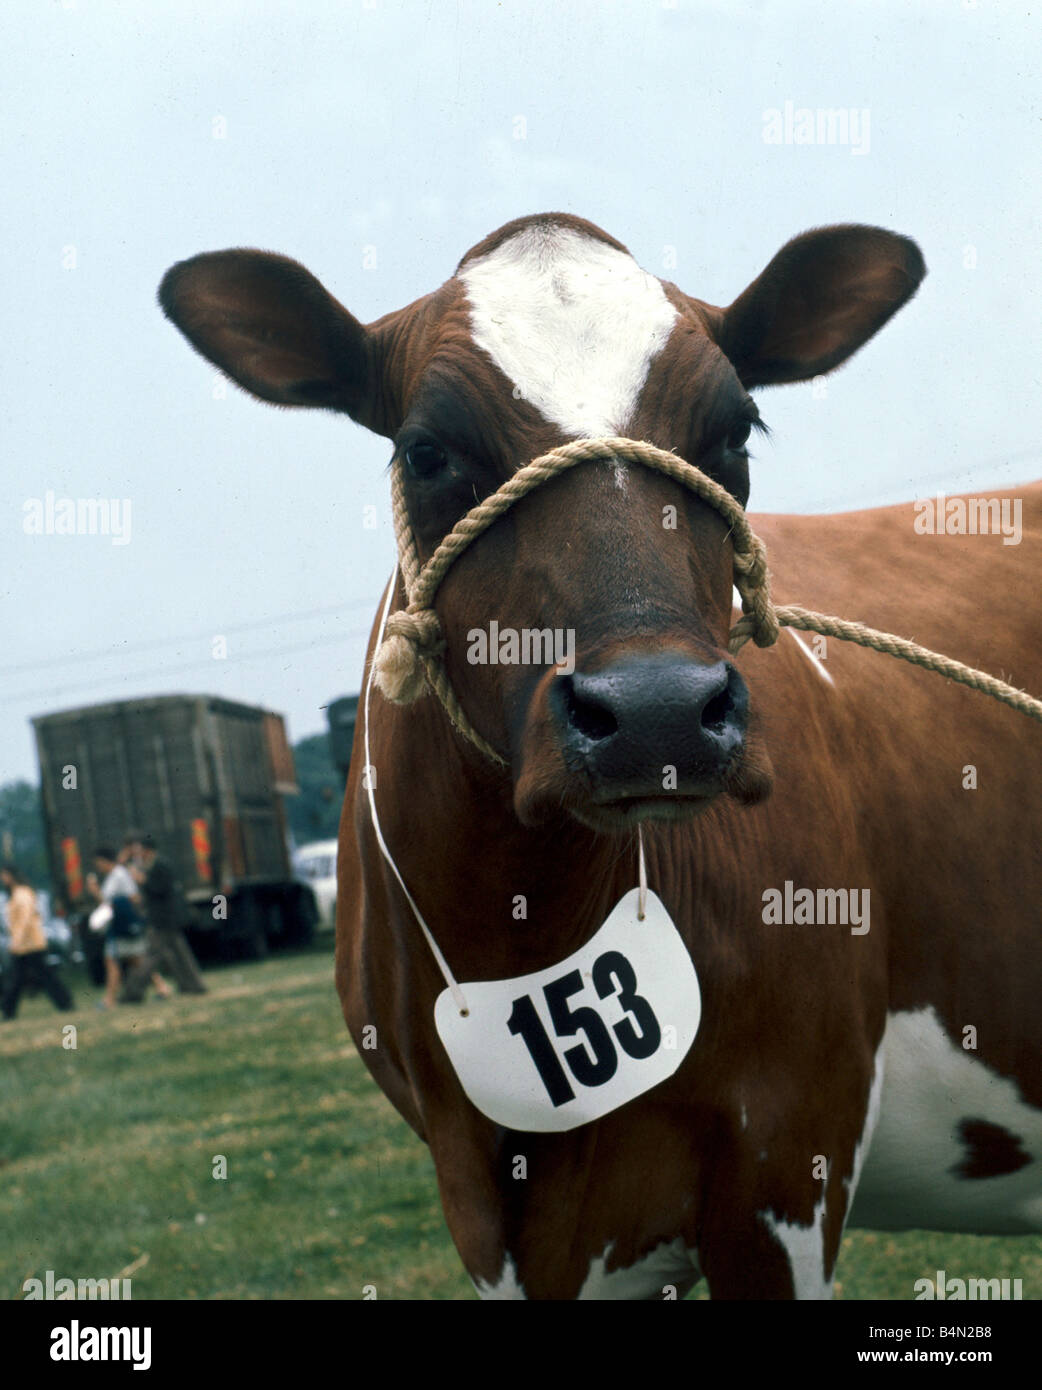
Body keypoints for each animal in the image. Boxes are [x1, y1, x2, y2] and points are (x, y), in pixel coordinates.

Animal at [160, 213, 1042, 1299]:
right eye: (426, 450)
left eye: (736, 432)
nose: (658, 712)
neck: (518, 925)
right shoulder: (482, 1208)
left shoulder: (790, 1153)